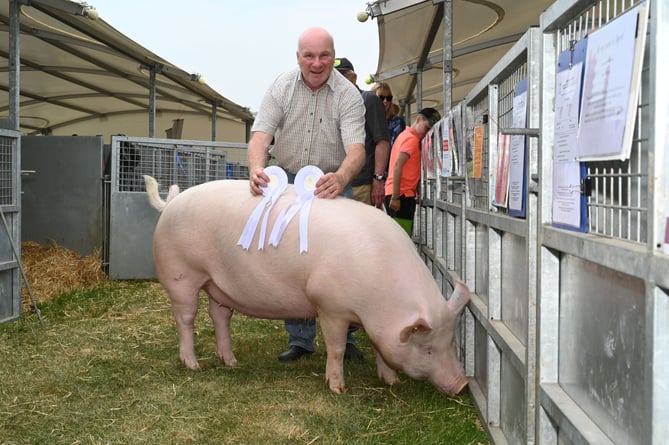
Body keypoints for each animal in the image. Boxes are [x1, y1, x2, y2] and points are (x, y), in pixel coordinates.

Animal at [143, 175, 470, 396]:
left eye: (452, 343)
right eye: (427, 349)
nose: (462, 384)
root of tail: (172, 203)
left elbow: (381, 348)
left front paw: (391, 381)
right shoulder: (330, 305)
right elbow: (336, 348)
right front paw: (337, 388)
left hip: (218, 283)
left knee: (220, 316)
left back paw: (231, 362)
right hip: (180, 274)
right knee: (186, 318)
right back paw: (193, 365)